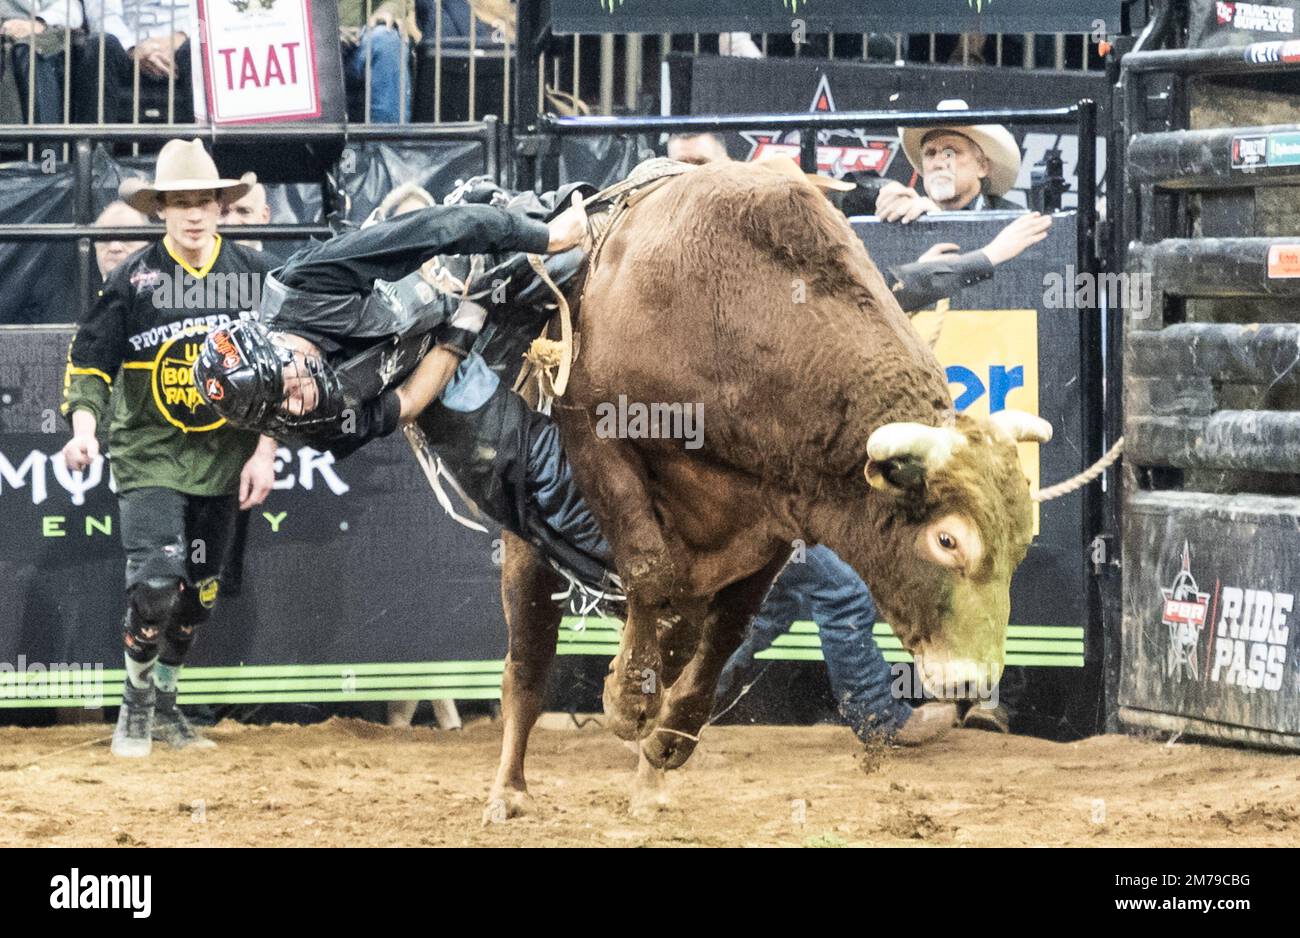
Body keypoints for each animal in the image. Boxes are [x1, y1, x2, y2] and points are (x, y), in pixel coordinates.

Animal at [485, 159, 1050, 819]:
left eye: (1020, 545)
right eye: (947, 540)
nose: (973, 682)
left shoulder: (777, 510)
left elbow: (728, 627)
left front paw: (670, 739)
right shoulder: (594, 429)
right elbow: (649, 570)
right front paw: (629, 702)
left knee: (681, 631)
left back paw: (649, 782)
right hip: (527, 550)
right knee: (528, 663)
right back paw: (510, 790)